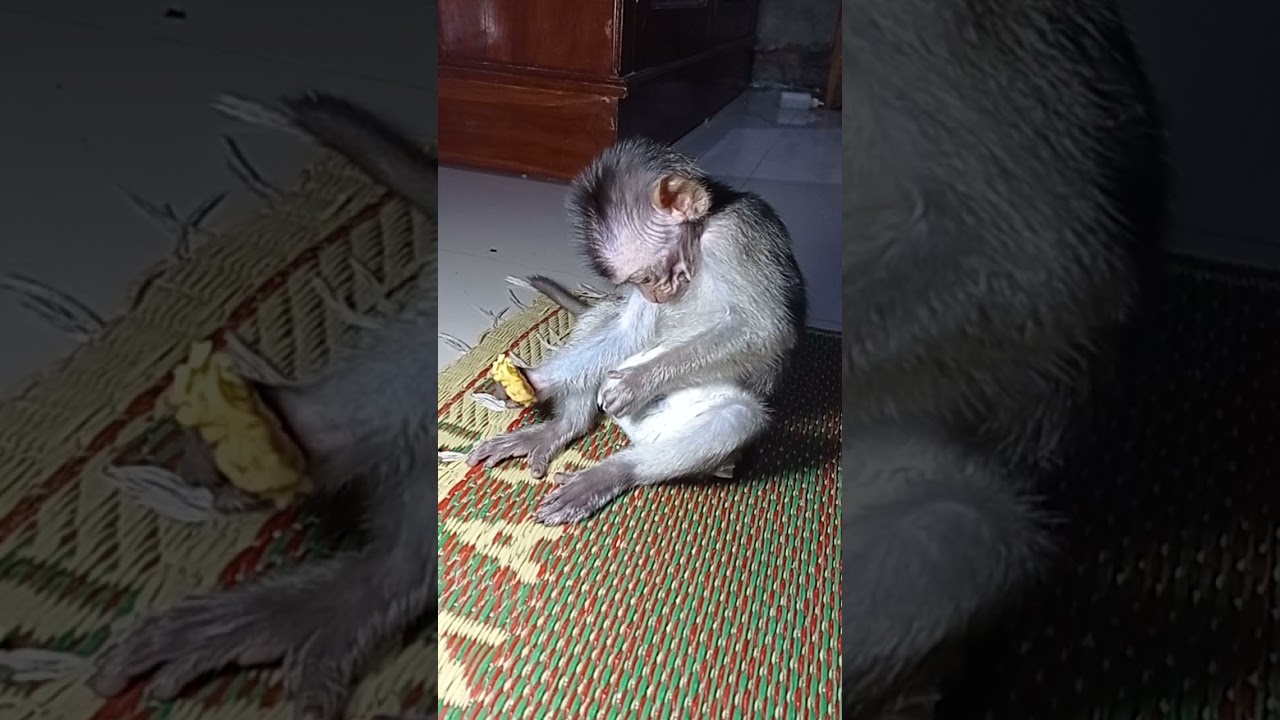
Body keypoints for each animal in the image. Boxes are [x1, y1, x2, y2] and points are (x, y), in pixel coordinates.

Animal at [466, 138, 807, 525]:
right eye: (637, 282)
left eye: (646, 276)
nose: (653, 294)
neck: (701, 239)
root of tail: (639, 433)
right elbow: (629, 334)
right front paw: (533, 382)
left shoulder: (738, 234)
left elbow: (767, 329)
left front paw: (637, 382)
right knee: (602, 319)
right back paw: (562, 428)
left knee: (738, 417)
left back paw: (613, 473)